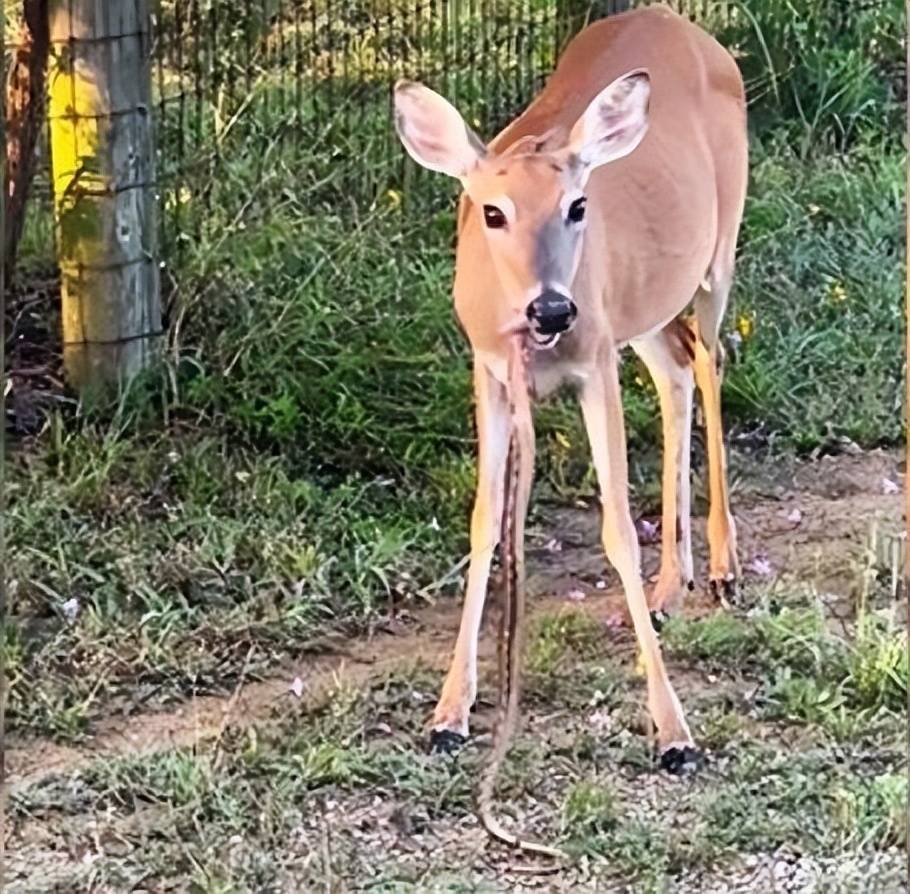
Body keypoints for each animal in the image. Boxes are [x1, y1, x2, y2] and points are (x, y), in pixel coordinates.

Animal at [393, 4, 747, 771]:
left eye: (578, 205)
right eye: (492, 211)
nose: (553, 309)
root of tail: (682, 25)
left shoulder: (593, 364)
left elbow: (616, 527)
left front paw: (674, 732)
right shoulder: (491, 370)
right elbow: (487, 520)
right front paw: (449, 713)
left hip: (717, 253)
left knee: (710, 360)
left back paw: (724, 567)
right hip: (640, 310)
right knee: (677, 368)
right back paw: (671, 587)